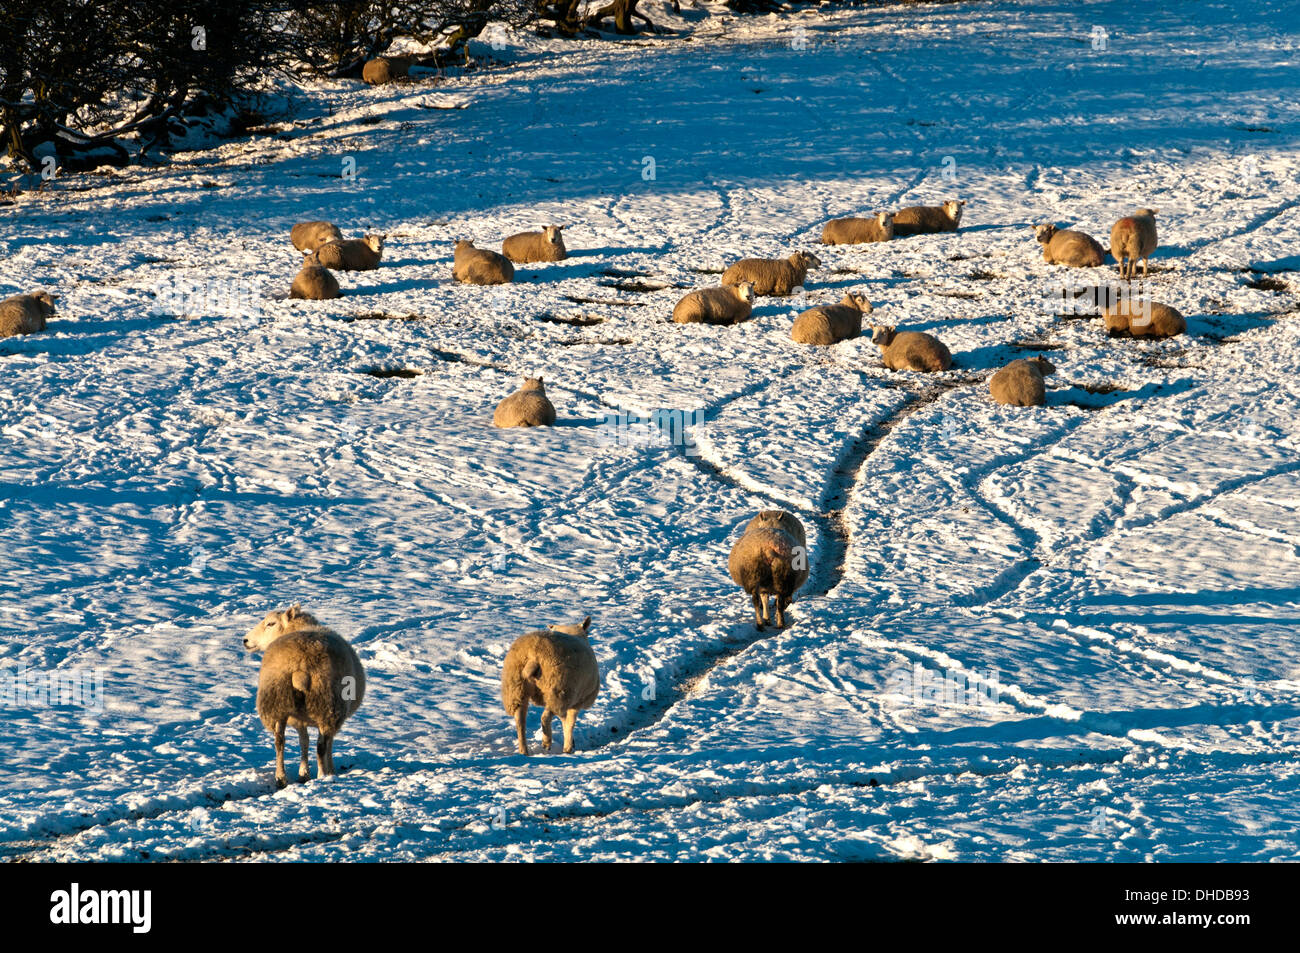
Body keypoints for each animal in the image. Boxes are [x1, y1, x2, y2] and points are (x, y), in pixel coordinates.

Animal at [243, 604, 366, 789]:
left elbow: (304, 741)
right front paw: (329, 770)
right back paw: (323, 776)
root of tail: (299, 665)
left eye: (271, 623)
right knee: (321, 745)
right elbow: (324, 744)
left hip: (277, 704)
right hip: (327, 706)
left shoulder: (298, 719)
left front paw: (303, 773)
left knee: (279, 741)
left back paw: (281, 778)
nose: (245, 640)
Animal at [501, 616, 599, 755]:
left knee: (520, 720)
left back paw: (524, 751)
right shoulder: (576, 701)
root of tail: (532, 655)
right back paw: (546, 742)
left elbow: (564, 719)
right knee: (545, 717)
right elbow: (570, 722)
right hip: (558, 690)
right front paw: (568, 747)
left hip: (515, 688)